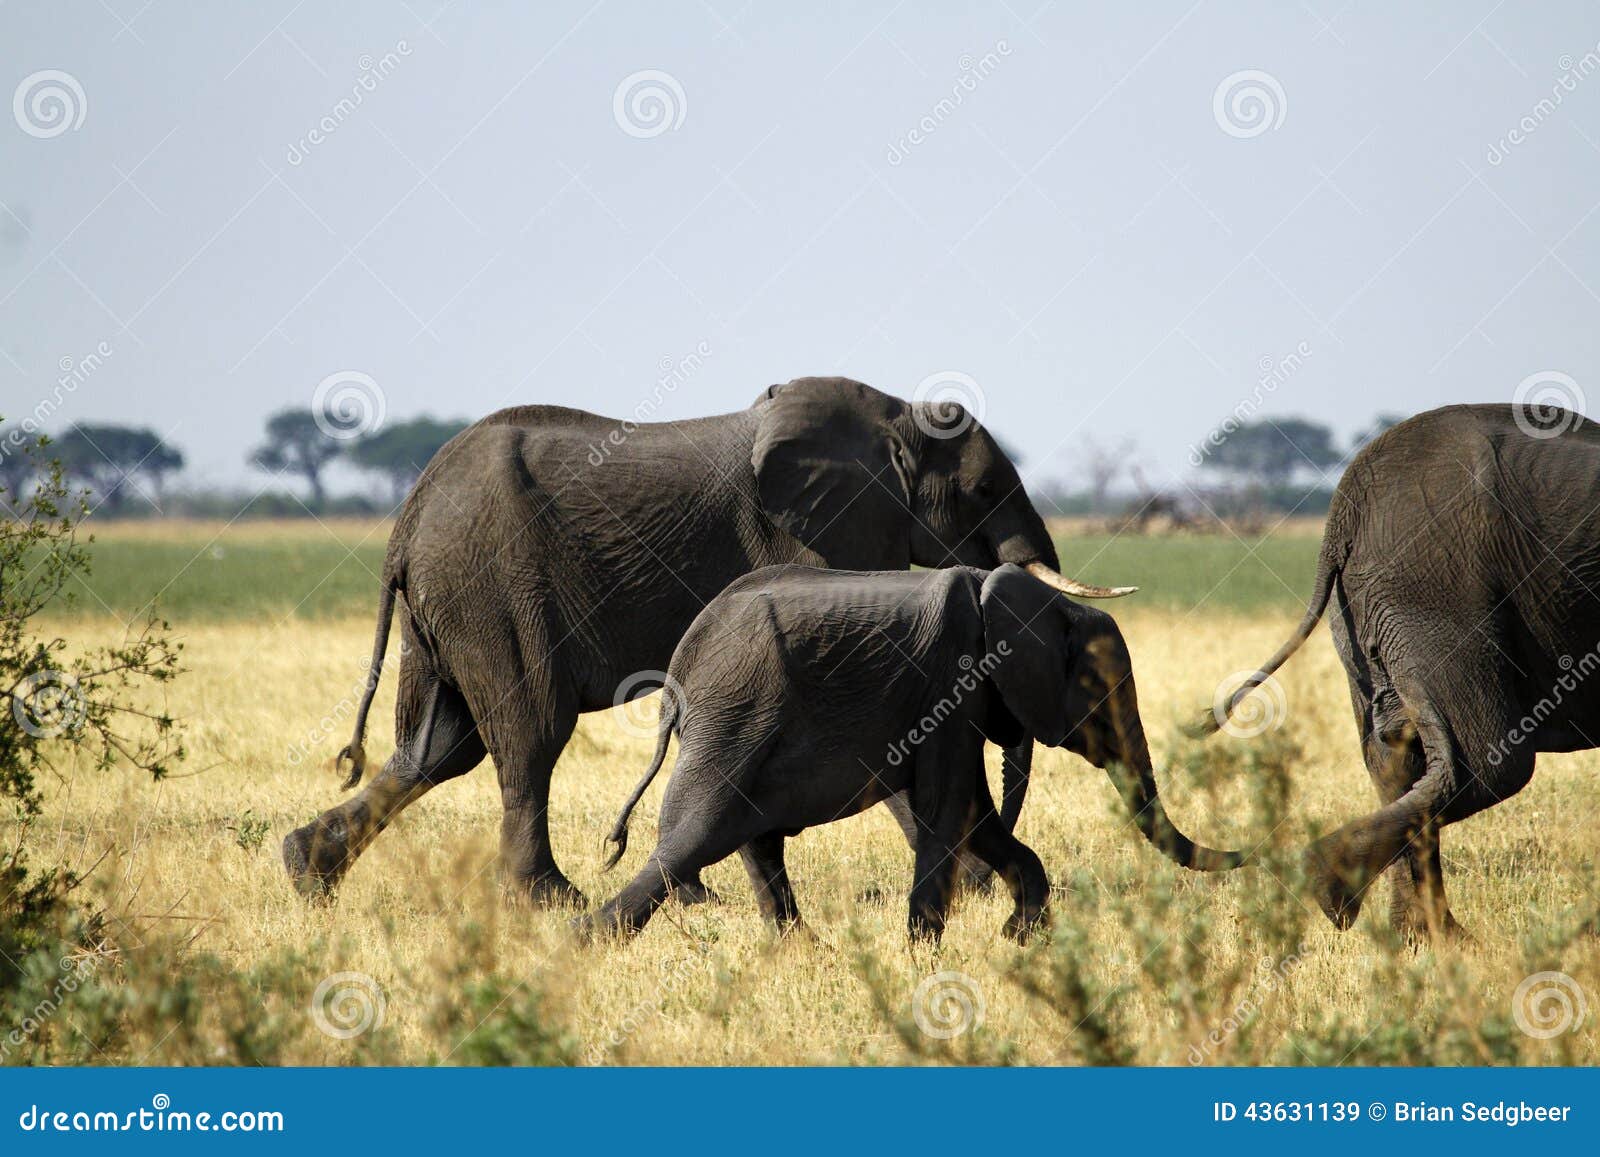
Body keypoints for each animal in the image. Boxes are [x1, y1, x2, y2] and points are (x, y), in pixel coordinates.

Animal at [282, 377, 1135, 905]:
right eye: (983, 490)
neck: (894, 409)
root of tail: (404, 523)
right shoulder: (804, 540)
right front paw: (972, 883)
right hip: (490, 585)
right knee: (528, 736)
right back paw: (553, 901)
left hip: (452, 606)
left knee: (437, 747)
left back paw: (306, 871)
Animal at [581, 563, 1245, 943]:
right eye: (1105, 693)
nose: (1251, 851)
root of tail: (678, 674)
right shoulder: (952, 676)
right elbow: (948, 808)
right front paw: (925, 955)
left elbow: (972, 814)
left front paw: (1020, 938)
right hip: (738, 712)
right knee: (693, 838)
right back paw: (582, 945)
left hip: (739, 720)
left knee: (748, 840)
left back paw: (805, 952)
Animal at [1198, 403, 1600, 939]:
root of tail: (1345, 512)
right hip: (1438, 588)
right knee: (1486, 763)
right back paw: (1345, 893)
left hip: (1369, 607)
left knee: (1397, 758)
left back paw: (1411, 932)